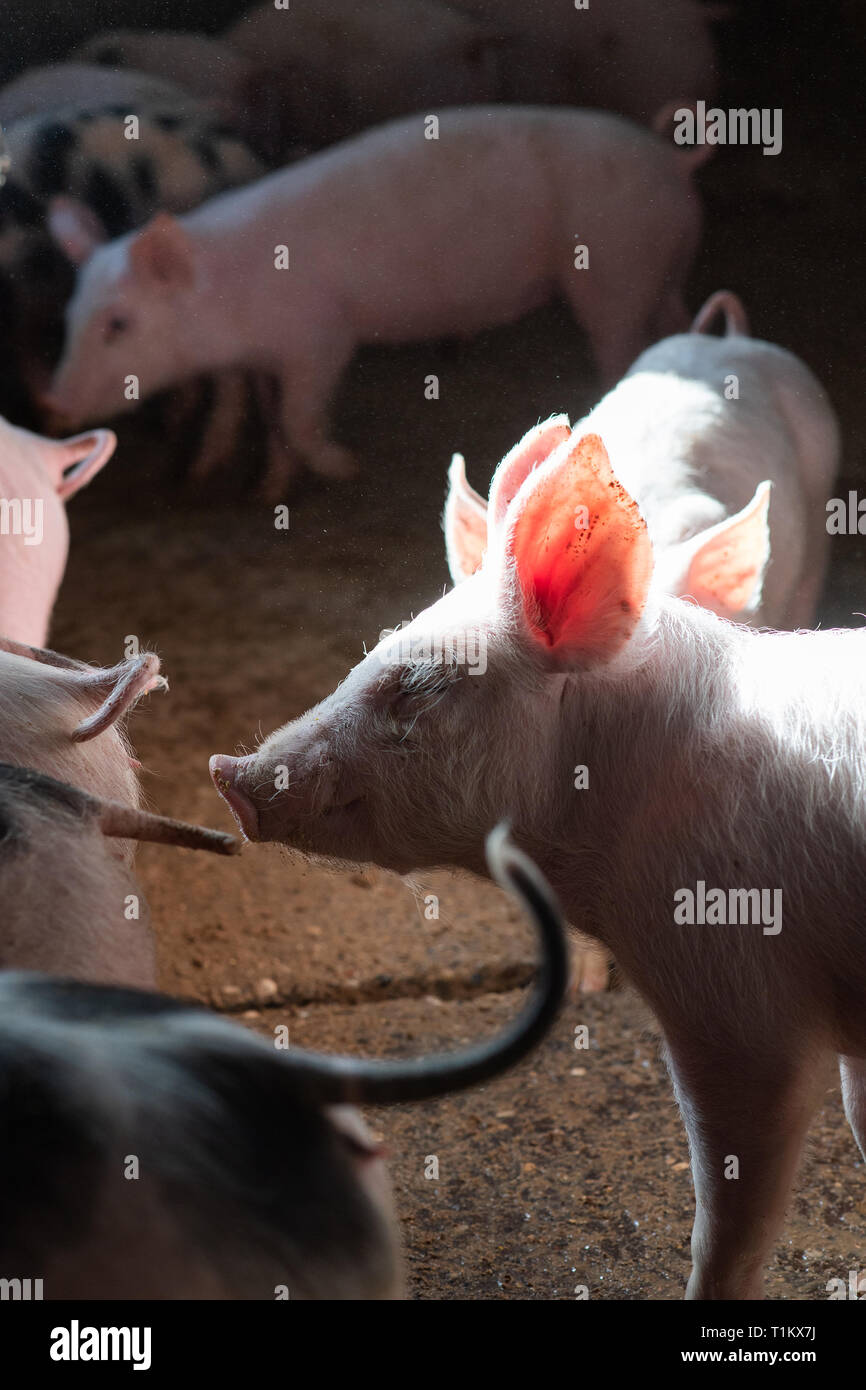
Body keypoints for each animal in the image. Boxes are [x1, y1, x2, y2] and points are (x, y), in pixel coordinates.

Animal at [46, 106, 705, 493]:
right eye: (69, 317)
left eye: (118, 323)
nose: (51, 404)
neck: (228, 303)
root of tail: (673, 160)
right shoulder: (246, 360)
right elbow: (239, 408)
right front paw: (232, 481)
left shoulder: (321, 338)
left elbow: (295, 416)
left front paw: (346, 465)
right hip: (665, 268)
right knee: (676, 319)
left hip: (616, 273)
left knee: (623, 346)